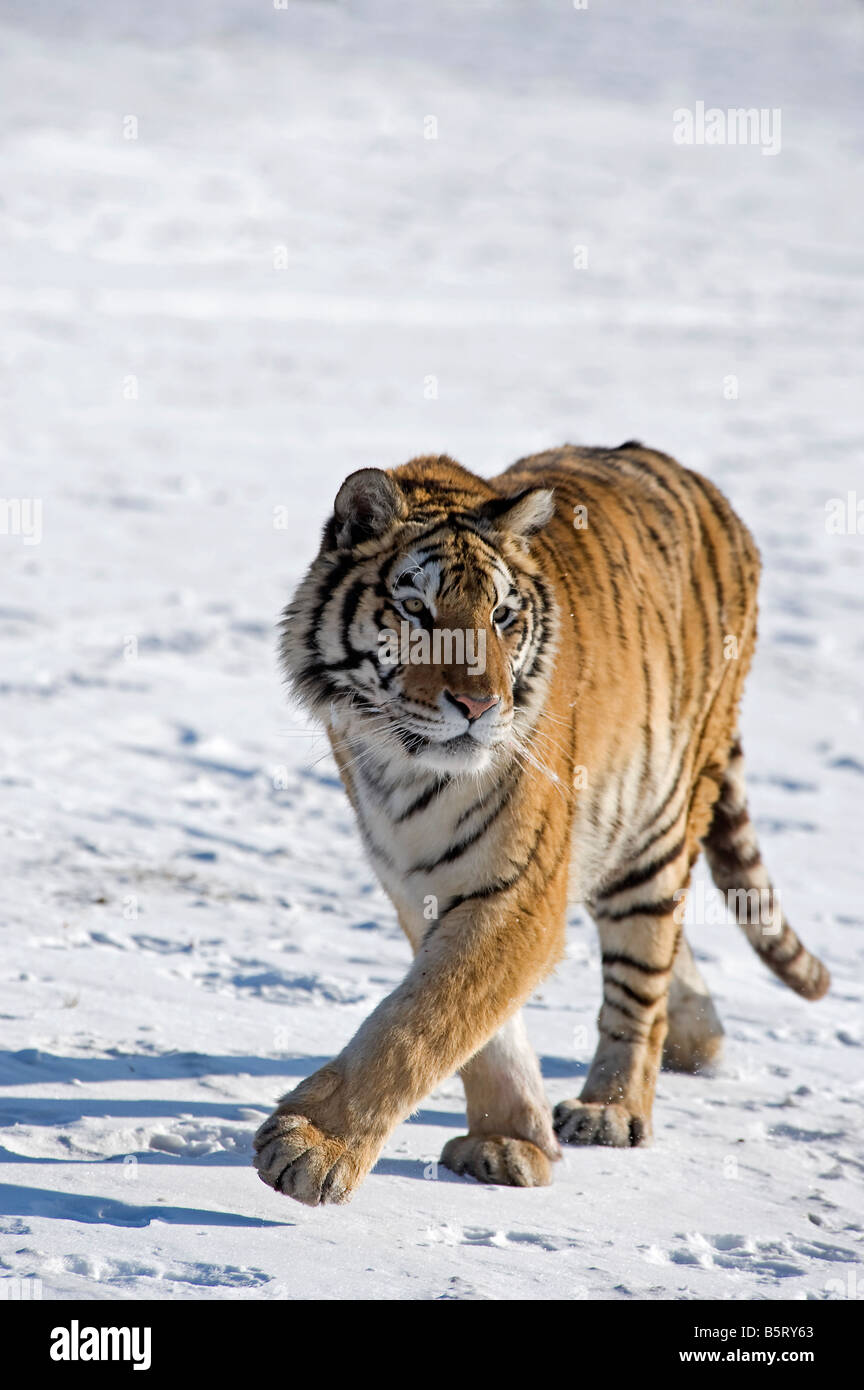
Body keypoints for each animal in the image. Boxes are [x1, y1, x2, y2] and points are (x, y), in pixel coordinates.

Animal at [255, 442, 833, 1206]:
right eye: (416, 609)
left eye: (502, 616)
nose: (478, 705)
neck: (405, 768)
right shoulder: (420, 880)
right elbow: (472, 1024)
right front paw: (508, 1141)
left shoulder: (520, 887)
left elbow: (421, 1021)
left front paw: (310, 1148)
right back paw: (698, 1040)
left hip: (655, 829)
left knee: (641, 977)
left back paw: (612, 1108)